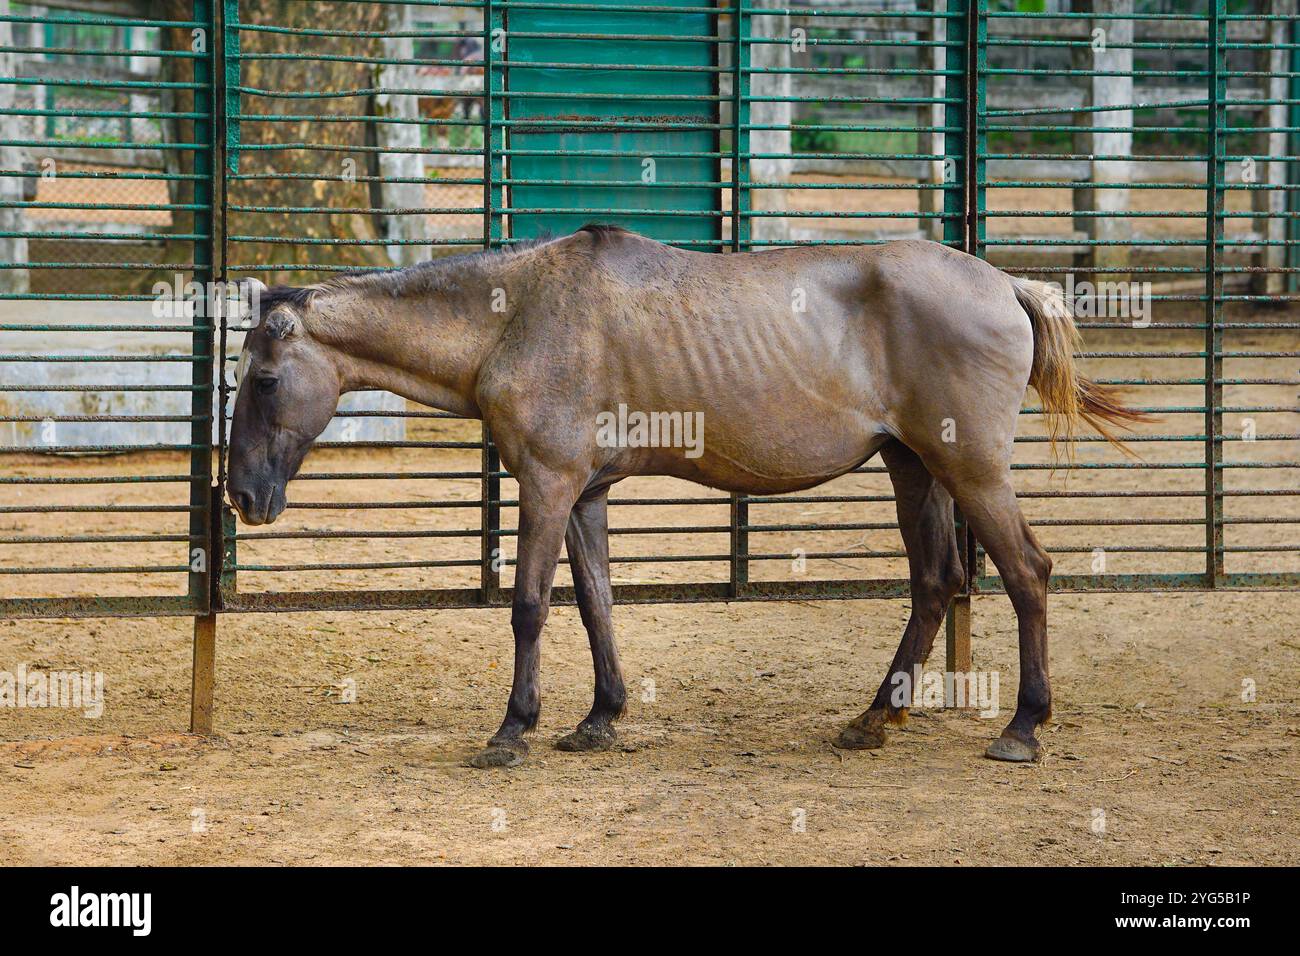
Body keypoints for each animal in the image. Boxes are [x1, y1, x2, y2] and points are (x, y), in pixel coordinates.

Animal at [226, 224, 1145, 768]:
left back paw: (1021, 727)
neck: (518, 313)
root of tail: (1007, 286)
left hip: (972, 471)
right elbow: (596, 603)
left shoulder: (547, 485)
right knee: (934, 583)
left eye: (264, 379)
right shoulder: (584, 495)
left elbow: (529, 606)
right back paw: (872, 719)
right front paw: (600, 717)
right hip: (913, 467)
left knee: (1026, 573)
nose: (241, 495)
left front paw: (512, 728)